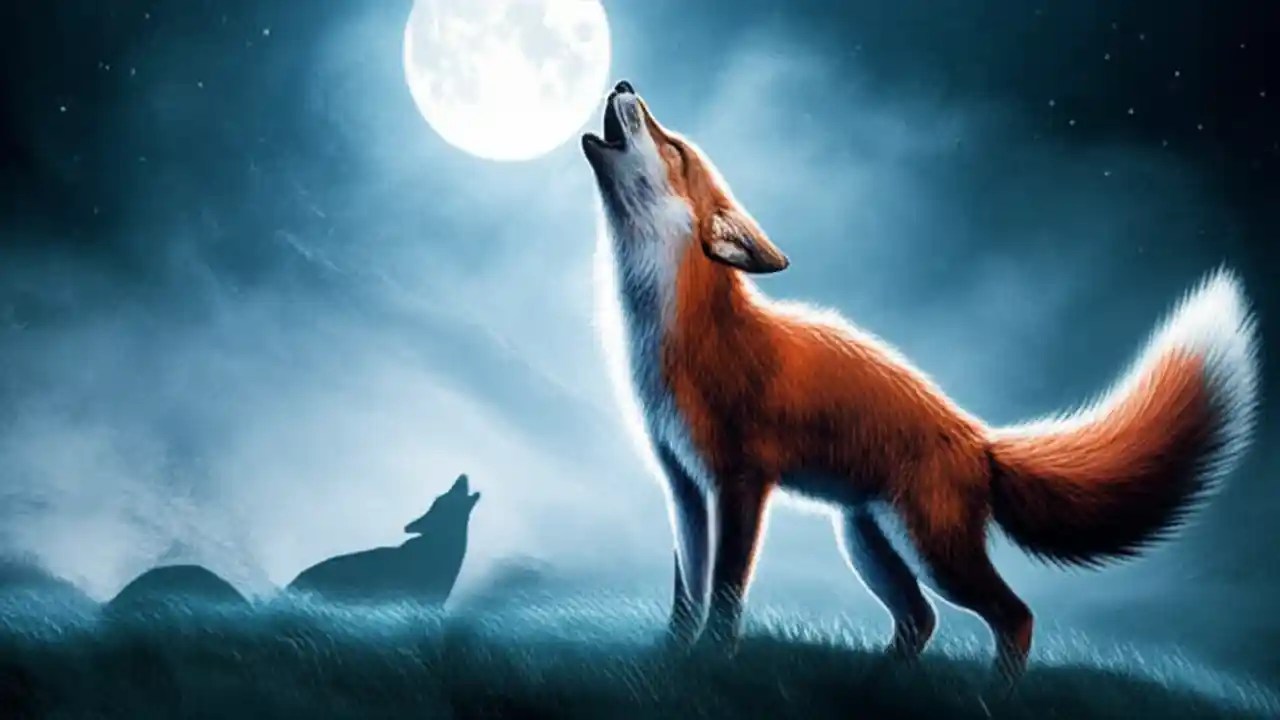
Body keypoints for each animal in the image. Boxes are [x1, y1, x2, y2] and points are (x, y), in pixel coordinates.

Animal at [581, 80, 1259, 680]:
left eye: (673, 148)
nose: (623, 83)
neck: (684, 337)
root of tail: (978, 437)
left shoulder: (741, 483)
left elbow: (724, 595)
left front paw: (711, 663)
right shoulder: (684, 488)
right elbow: (686, 596)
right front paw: (672, 660)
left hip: (933, 551)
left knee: (1014, 617)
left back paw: (992, 697)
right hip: (868, 542)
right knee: (921, 621)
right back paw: (878, 685)